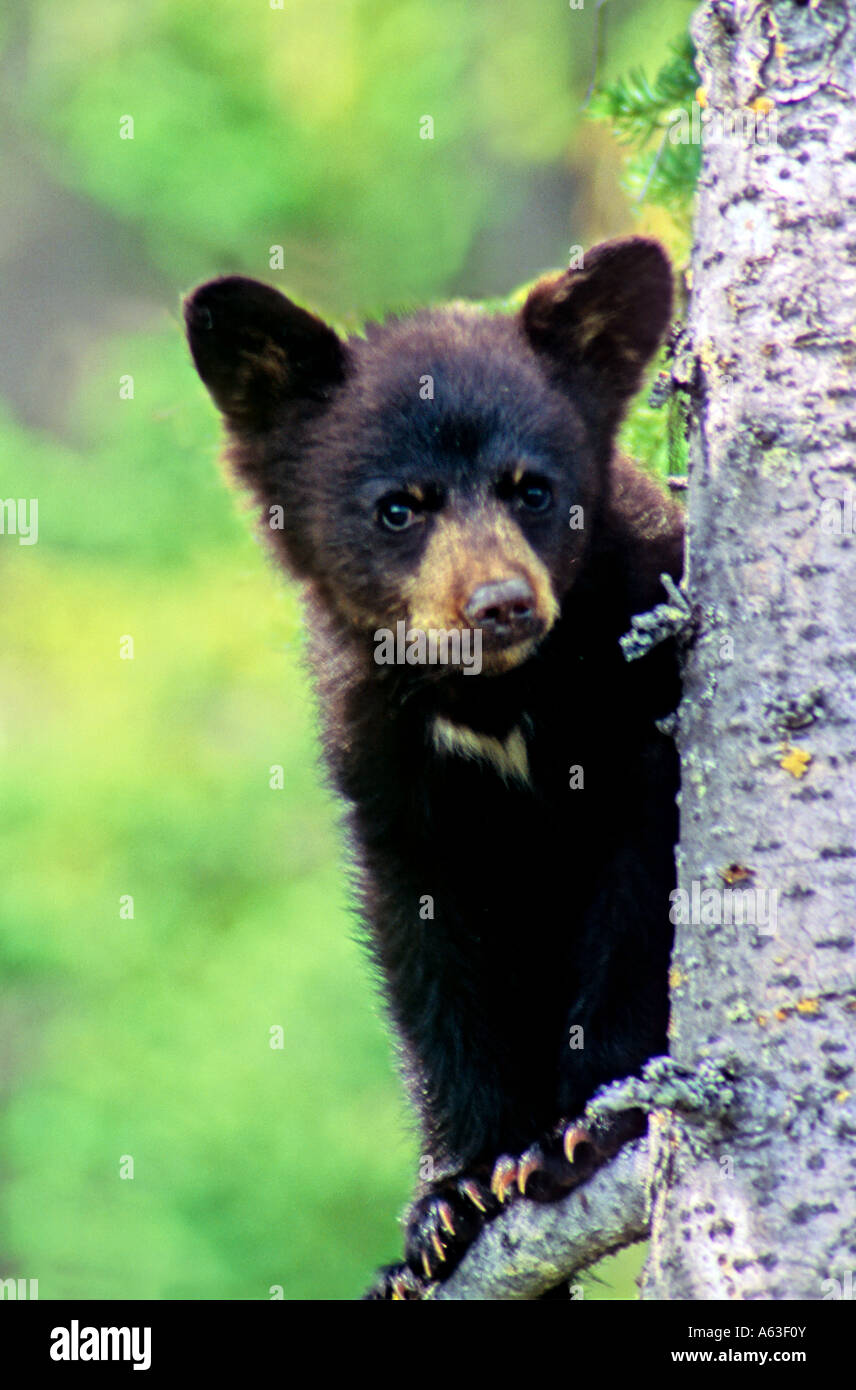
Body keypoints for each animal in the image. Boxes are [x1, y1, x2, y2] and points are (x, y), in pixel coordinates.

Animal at [184, 237, 685, 1300]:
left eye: (533, 487)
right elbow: (430, 963)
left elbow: (641, 908)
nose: (500, 603)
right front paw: (448, 1200)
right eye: (398, 508)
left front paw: (582, 1129)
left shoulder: (645, 716)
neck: (496, 700)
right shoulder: (391, 780)